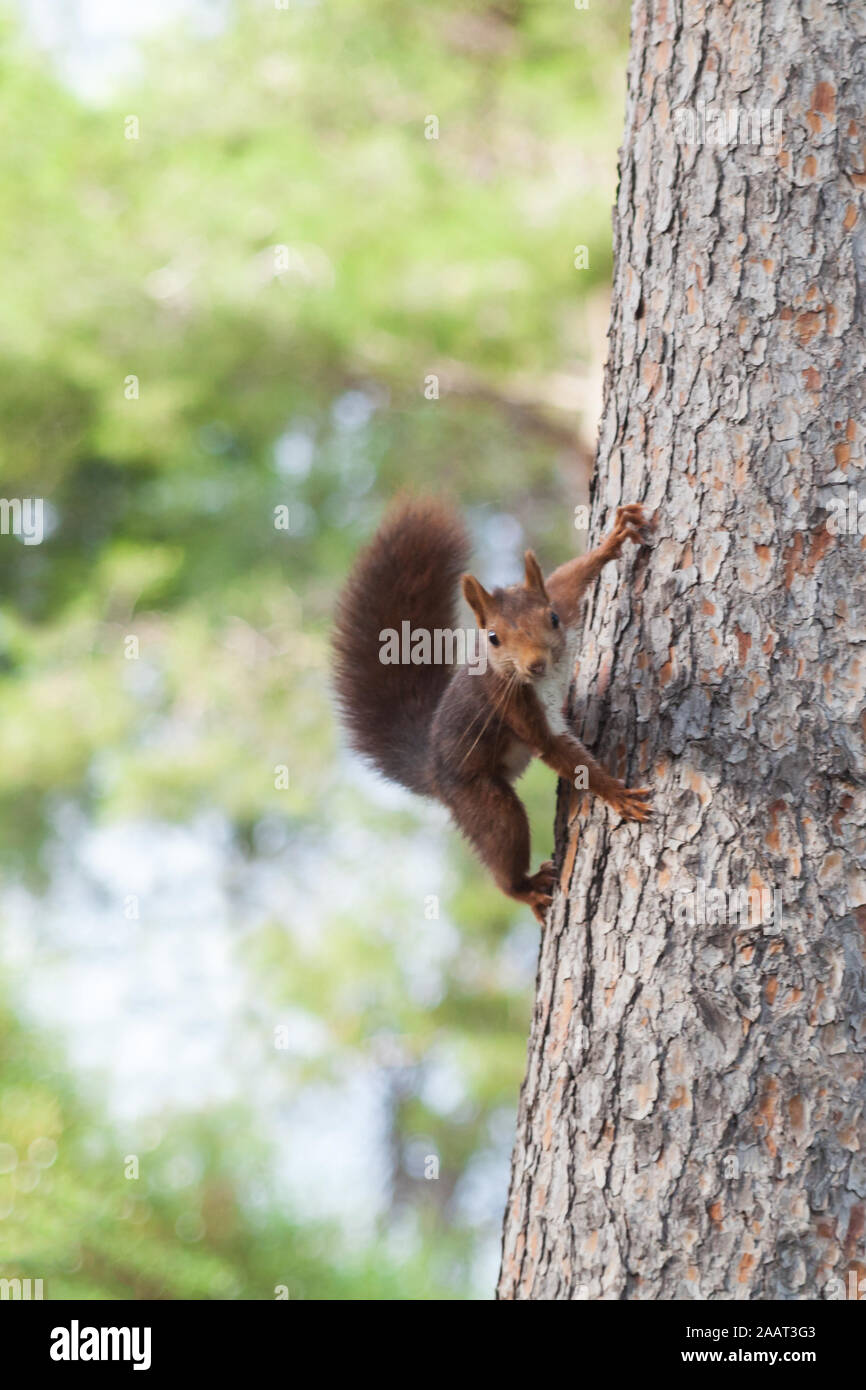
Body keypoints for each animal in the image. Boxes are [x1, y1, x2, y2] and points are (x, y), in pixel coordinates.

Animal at [332, 497, 653, 922]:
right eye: (493, 638)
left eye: (551, 618)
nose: (535, 664)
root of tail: (433, 768)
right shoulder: (512, 703)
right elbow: (557, 751)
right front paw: (618, 794)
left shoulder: (561, 602)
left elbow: (567, 578)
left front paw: (611, 541)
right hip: (481, 799)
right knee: (502, 843)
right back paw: (526, 890)